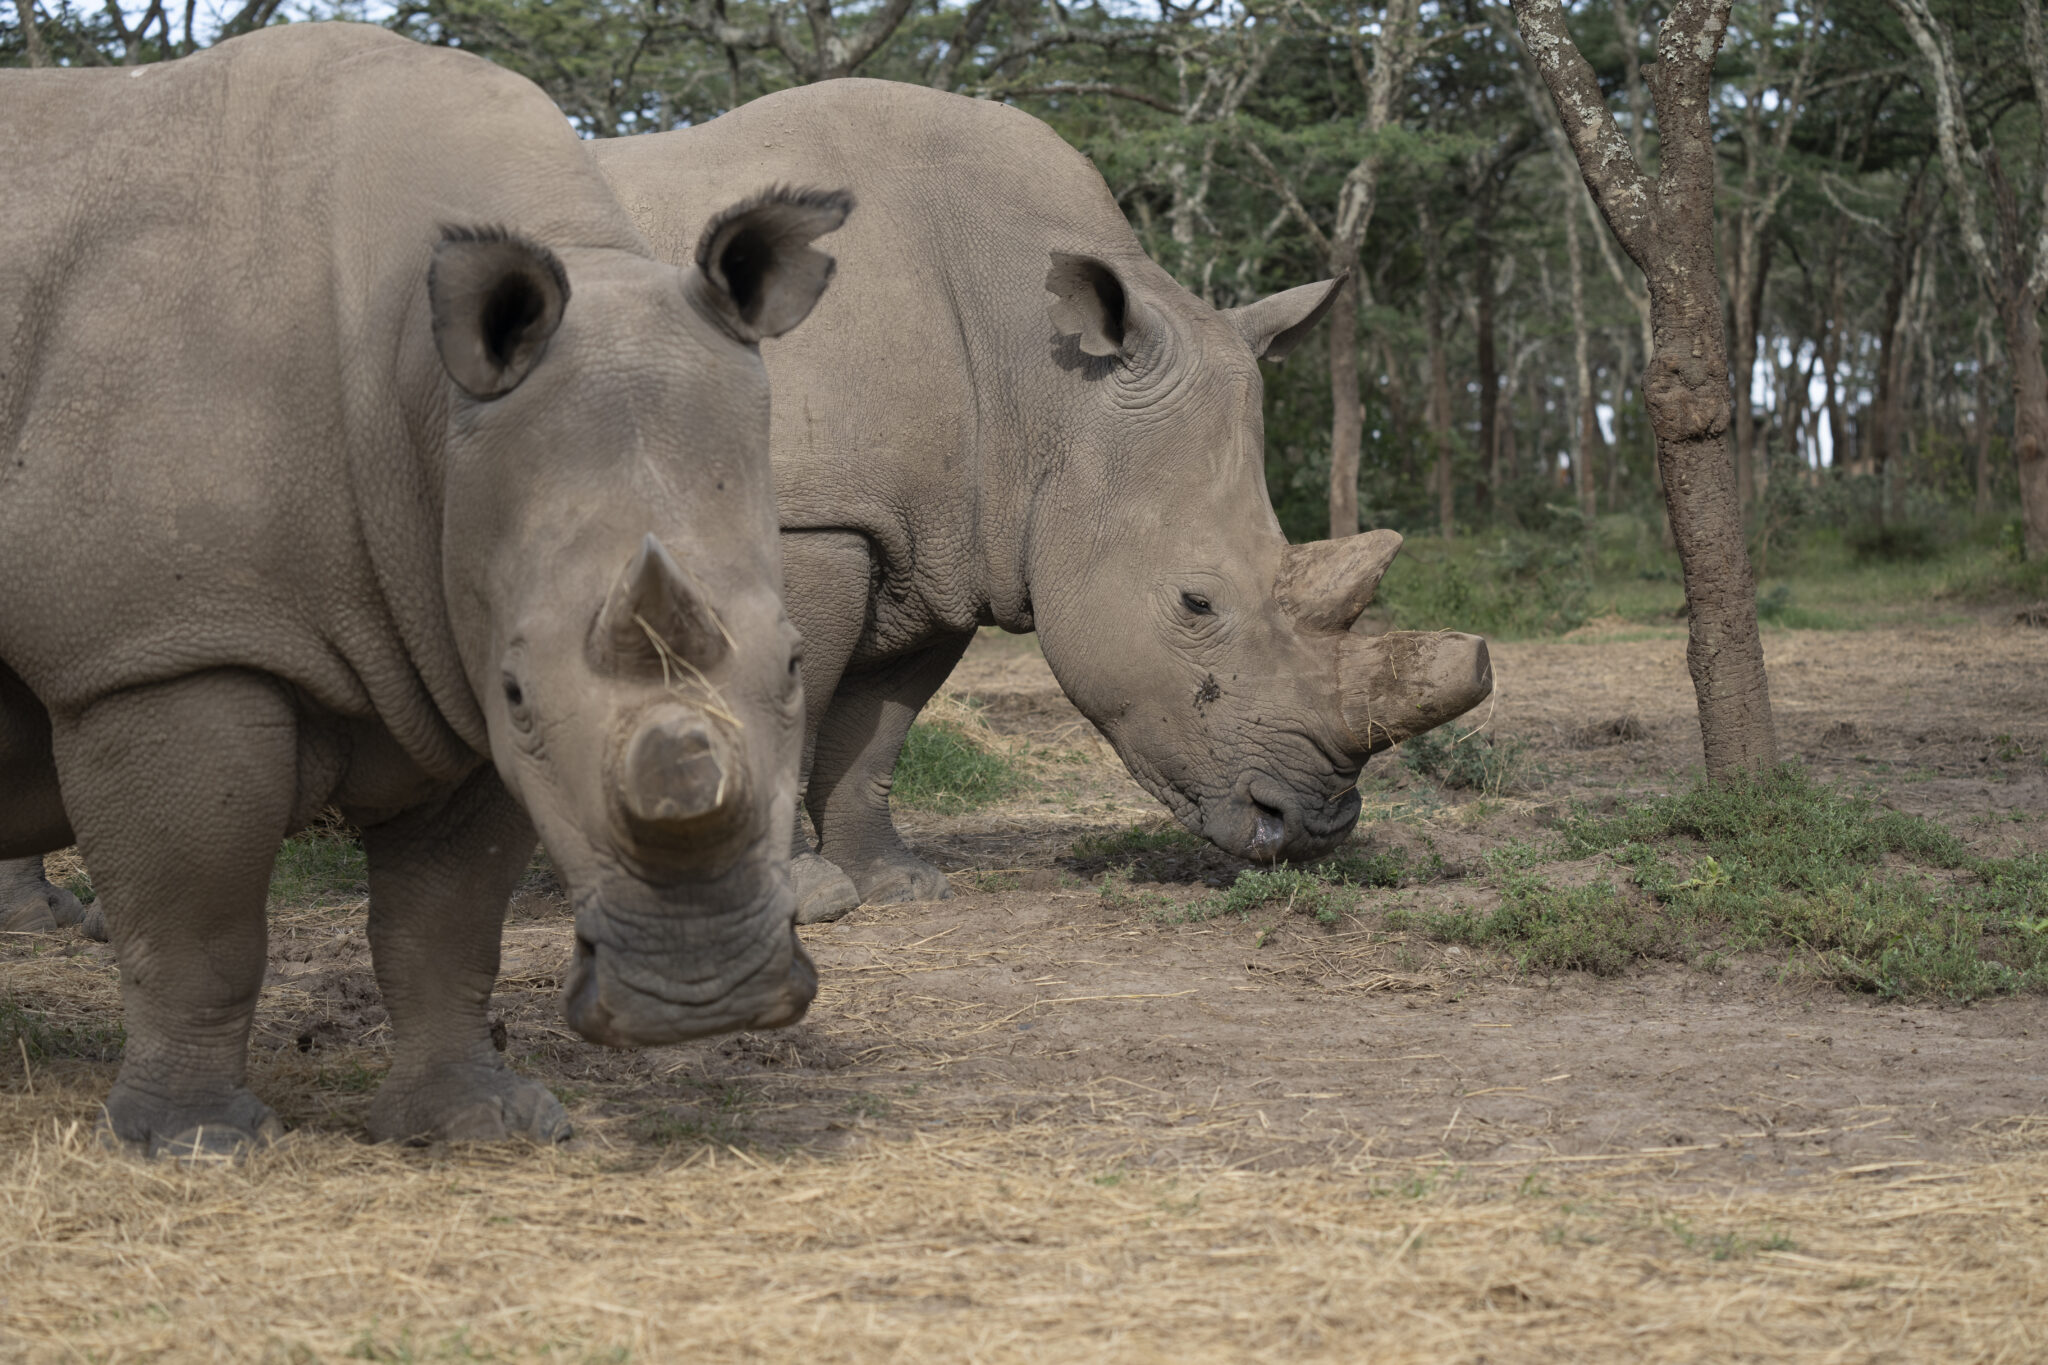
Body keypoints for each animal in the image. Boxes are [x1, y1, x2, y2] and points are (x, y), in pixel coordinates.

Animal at [0, 25, 848, 1154]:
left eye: (795, 662)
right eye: (523, 694)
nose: (700, 997)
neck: (421, 384)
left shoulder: (454, 647)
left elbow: (444, 922)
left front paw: (479, 1122)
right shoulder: (157, 647)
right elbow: (195, 919)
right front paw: (194, 1144)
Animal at [589, 81, 1491, 924]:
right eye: (1195, 603)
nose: (1314, 825)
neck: (1041, 378)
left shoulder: (945, 538)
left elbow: (875, 727)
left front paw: (898, 885)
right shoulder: (817, 514)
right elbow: (785, 700)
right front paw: (804, 901)